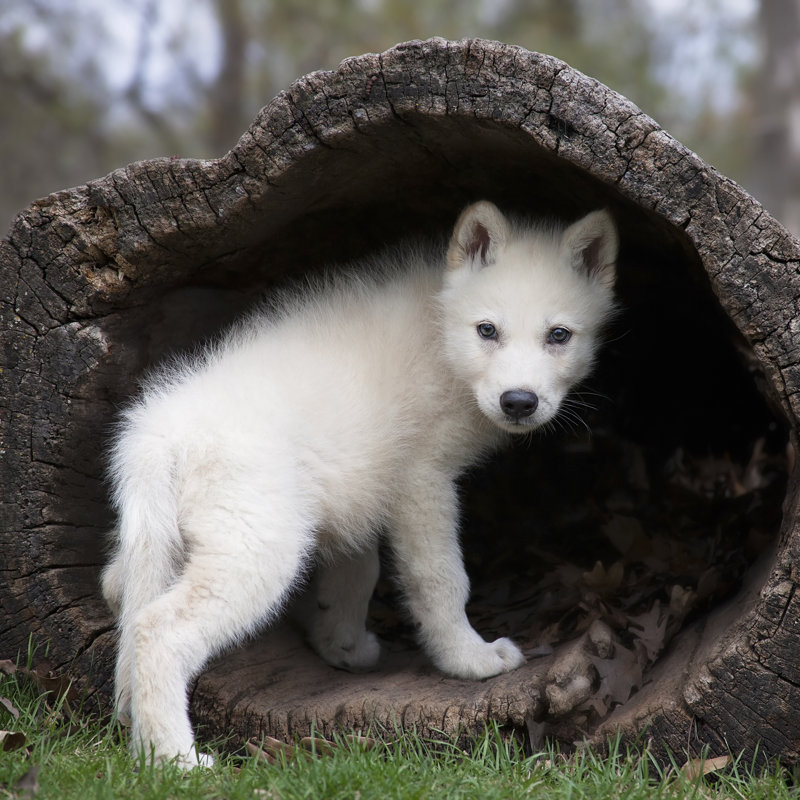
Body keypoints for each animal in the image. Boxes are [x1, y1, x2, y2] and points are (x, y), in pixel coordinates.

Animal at [101, 200, 618, 766]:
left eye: (559, 336)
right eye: (487, 330)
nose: (519, 402)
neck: (440, 336)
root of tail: (160, 432)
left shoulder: (363, 482)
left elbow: (358, 570)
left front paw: (342, 643)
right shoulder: (422, 481)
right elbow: (440, 580)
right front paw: (469, 659)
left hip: (170, 541)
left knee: (117, 589)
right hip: (258, 550)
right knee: (157, 631)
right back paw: (174, 761)